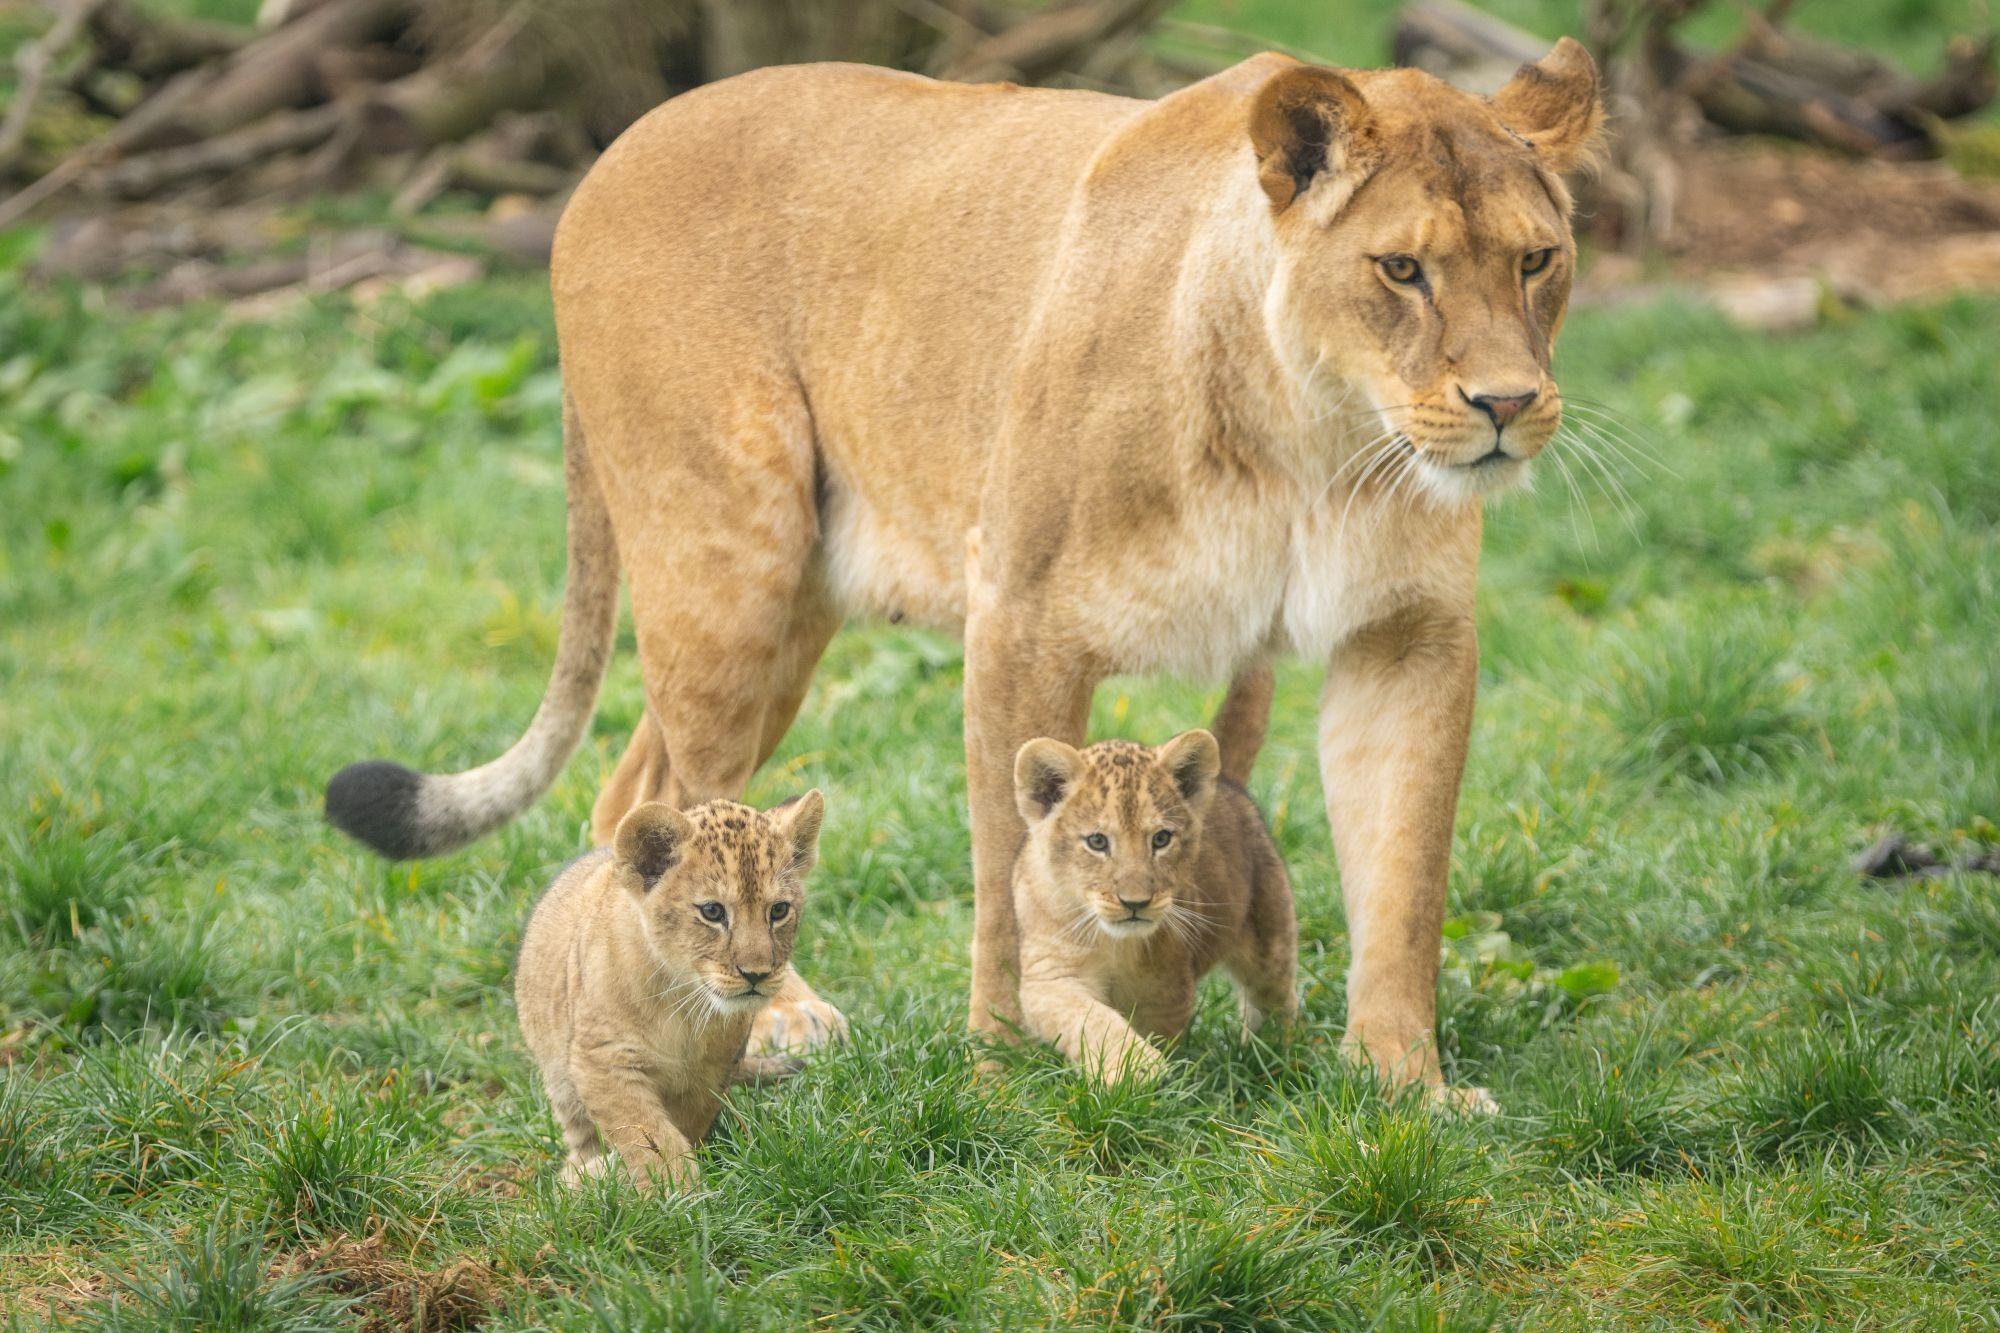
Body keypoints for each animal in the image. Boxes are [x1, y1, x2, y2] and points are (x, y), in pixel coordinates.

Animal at [514, 792, 827, 1188]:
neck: (683, 1000)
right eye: (713, 912)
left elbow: (681, 1125)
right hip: (560, 1080)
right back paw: (580, 1175)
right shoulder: (602, 1058)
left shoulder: (713, 1069)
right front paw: (675, 1190)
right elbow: (646, 1132)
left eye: (779, 910)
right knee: (581, 1134)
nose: (757, 974)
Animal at [1013, 730, 1296, 1085]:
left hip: (1269, 940)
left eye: (1161, 839)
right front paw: (1134, 1069)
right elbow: (1087, 1018)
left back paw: (1273, 1055)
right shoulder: (1050, 973)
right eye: (1097, 842)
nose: (1135, 903)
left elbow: (1159, 1036)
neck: (1114, 943)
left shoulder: (1166, 991)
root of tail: (1227, 782)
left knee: (1275, 996)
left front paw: (1149, 1084)